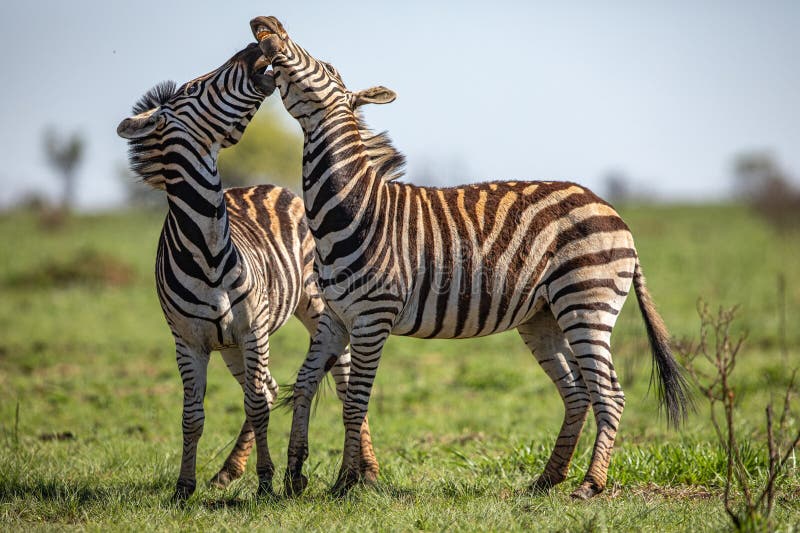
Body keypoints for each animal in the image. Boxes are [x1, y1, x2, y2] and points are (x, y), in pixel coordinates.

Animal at [116, 43, 380, 501]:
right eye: (196, 89)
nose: (254, 49)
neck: (205, 249)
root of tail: (266, 186)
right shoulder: (189, 342)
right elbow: (193, 415)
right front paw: (185, 486)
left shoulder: (253, 330)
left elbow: (256, 404)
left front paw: (266, 481)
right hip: (230, 347)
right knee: (271, 387)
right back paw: (227, 471)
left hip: (312, 307)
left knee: (341, 379)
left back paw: (367, 471)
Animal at [249, 16, 692, 500]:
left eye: (325, 65)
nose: (266, 24)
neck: (352, 206)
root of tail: (615, 213)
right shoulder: (336, 315)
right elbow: (306, 384)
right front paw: (295, 475)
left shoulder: (373, 316)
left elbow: (355, 403)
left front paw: (347, 483)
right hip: (543, 317)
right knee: (577, 392)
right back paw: (547, 479)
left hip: (586, 303)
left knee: (609, 393)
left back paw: (590, 484)